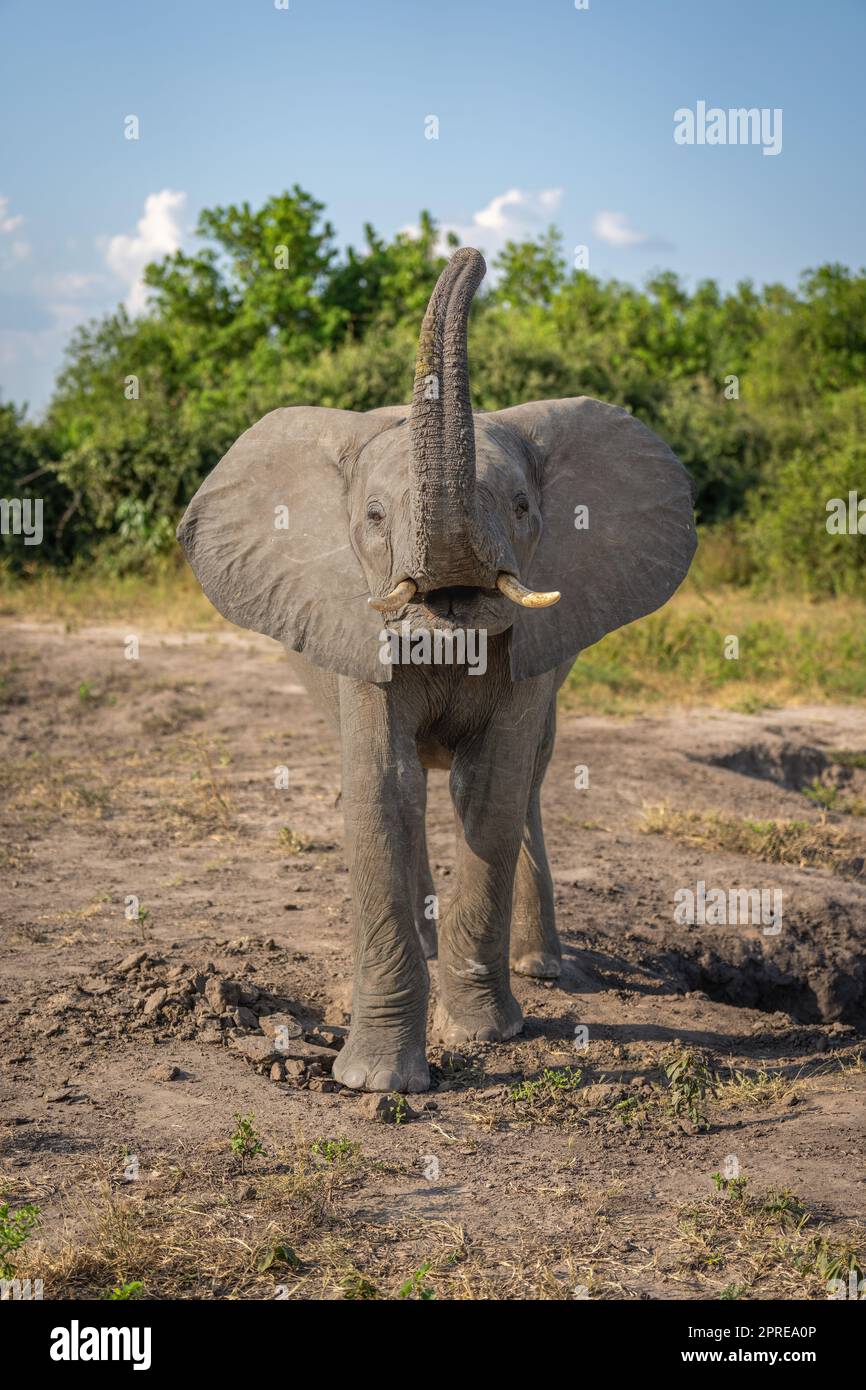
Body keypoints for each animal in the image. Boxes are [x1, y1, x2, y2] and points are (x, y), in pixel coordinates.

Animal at [177, 246, 696, 1093]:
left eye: (522, 507)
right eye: (374, 518)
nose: (472, 257)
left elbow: (491, 791)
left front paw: (487, 1032)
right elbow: (382, 790)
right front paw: (376, 1083)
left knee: (532, 779)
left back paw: (540, 969)